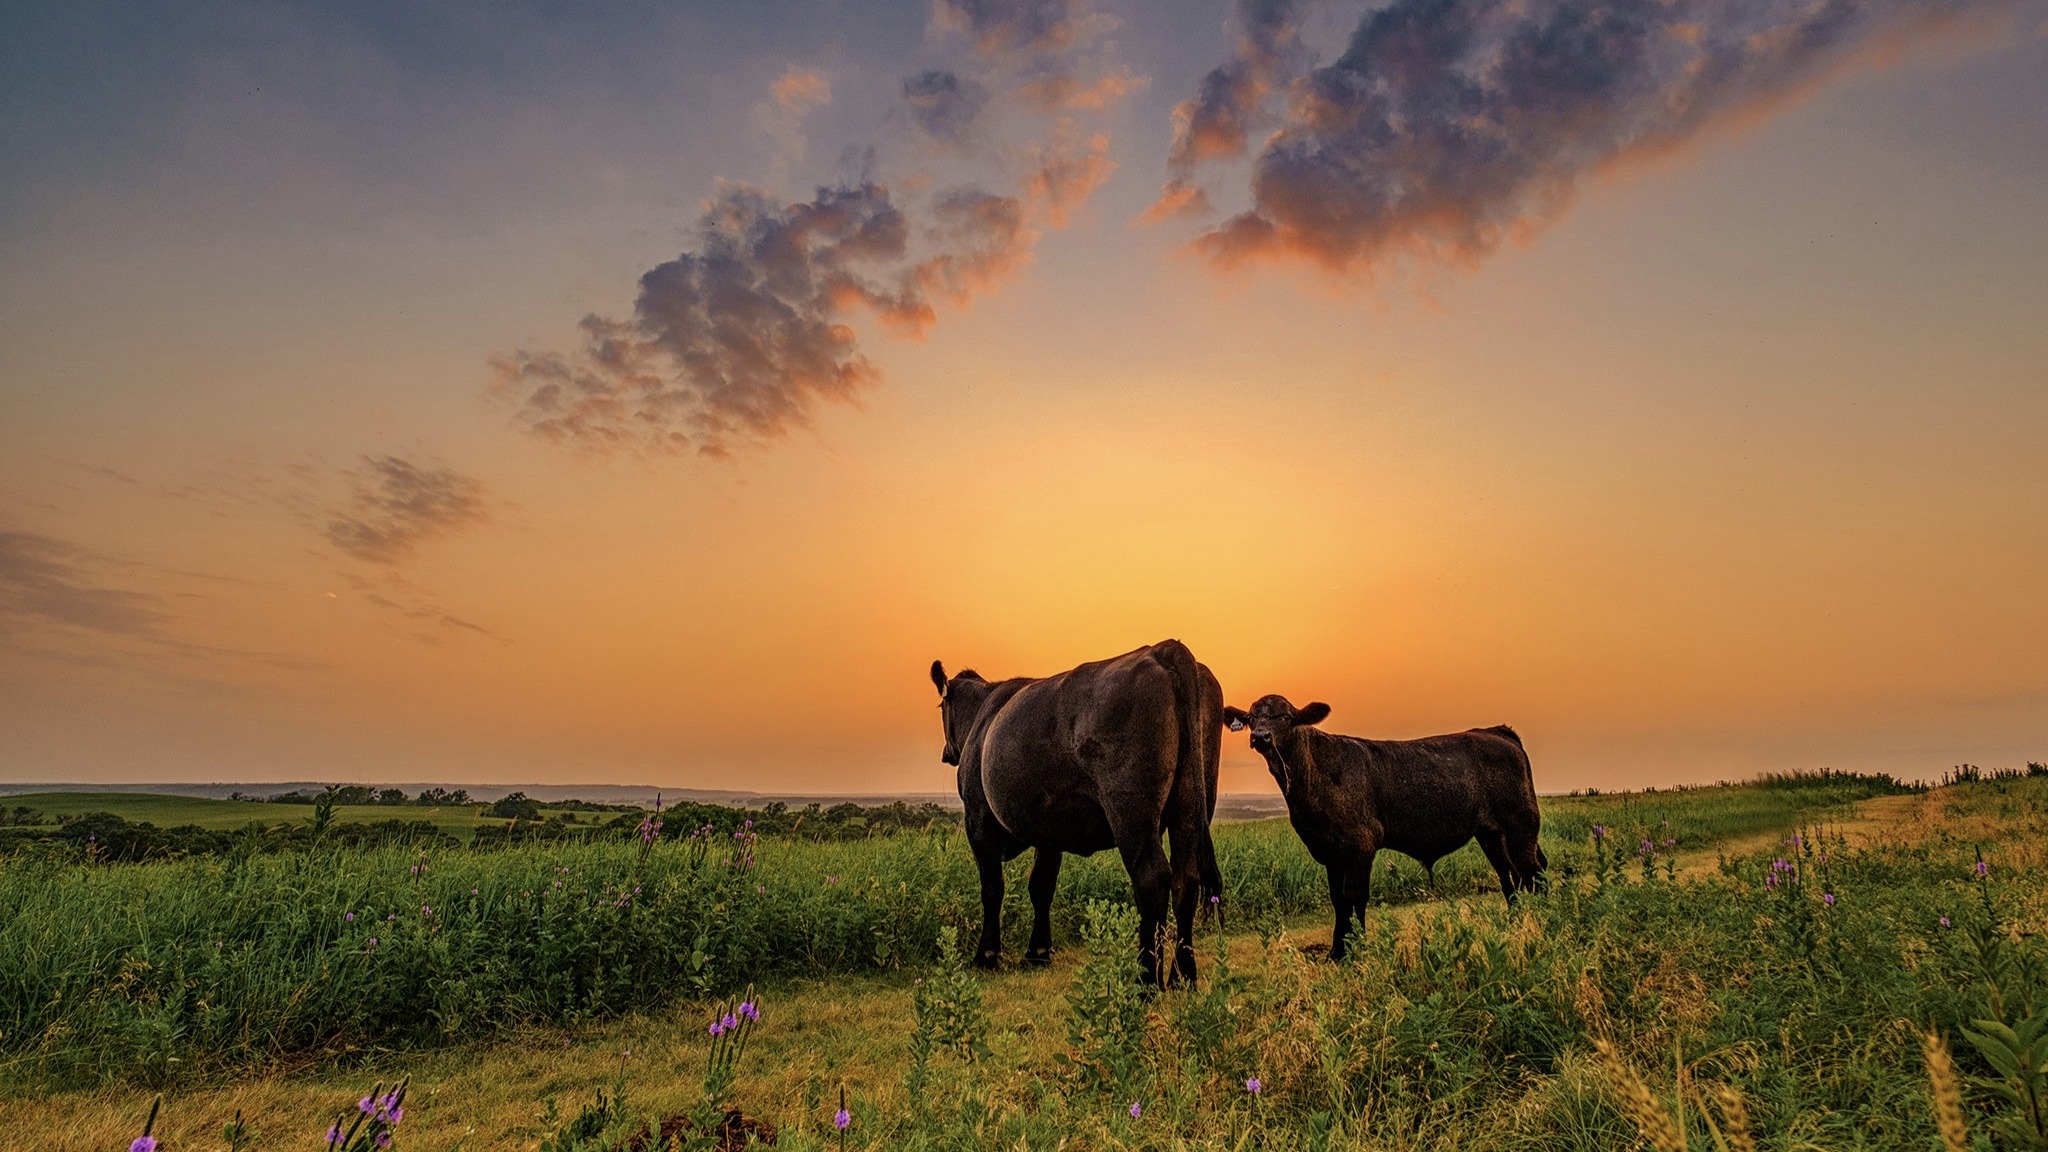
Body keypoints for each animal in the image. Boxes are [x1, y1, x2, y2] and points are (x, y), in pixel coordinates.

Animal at [931, 640, 1224, 984]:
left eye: (941, 708)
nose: (946, 753)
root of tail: (1164, 649)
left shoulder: (978, 818)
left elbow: (992, 887)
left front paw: (987, 955)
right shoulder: (1048, 828)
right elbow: (1041, 885)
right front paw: (1038, 952)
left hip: (1130, 810)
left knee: (1152, 879)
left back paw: (1146, 980)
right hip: (1191, 806)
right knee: (1186, 879)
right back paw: (1182, 977)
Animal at [1222, 695, 1545, 962]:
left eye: (1285, 716)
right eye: (1250, 717)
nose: (1260, 736)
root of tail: (1495, 731)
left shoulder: (1360, 846)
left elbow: (1354, 896)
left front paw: (1355, 947)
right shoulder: (1330, 852)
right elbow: (1338, 899)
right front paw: (1336, 951)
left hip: (1520, 824)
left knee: (1532, 871)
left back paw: (1540, 922)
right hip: (1491, 833)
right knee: (1511, 874)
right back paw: (1515, 922)